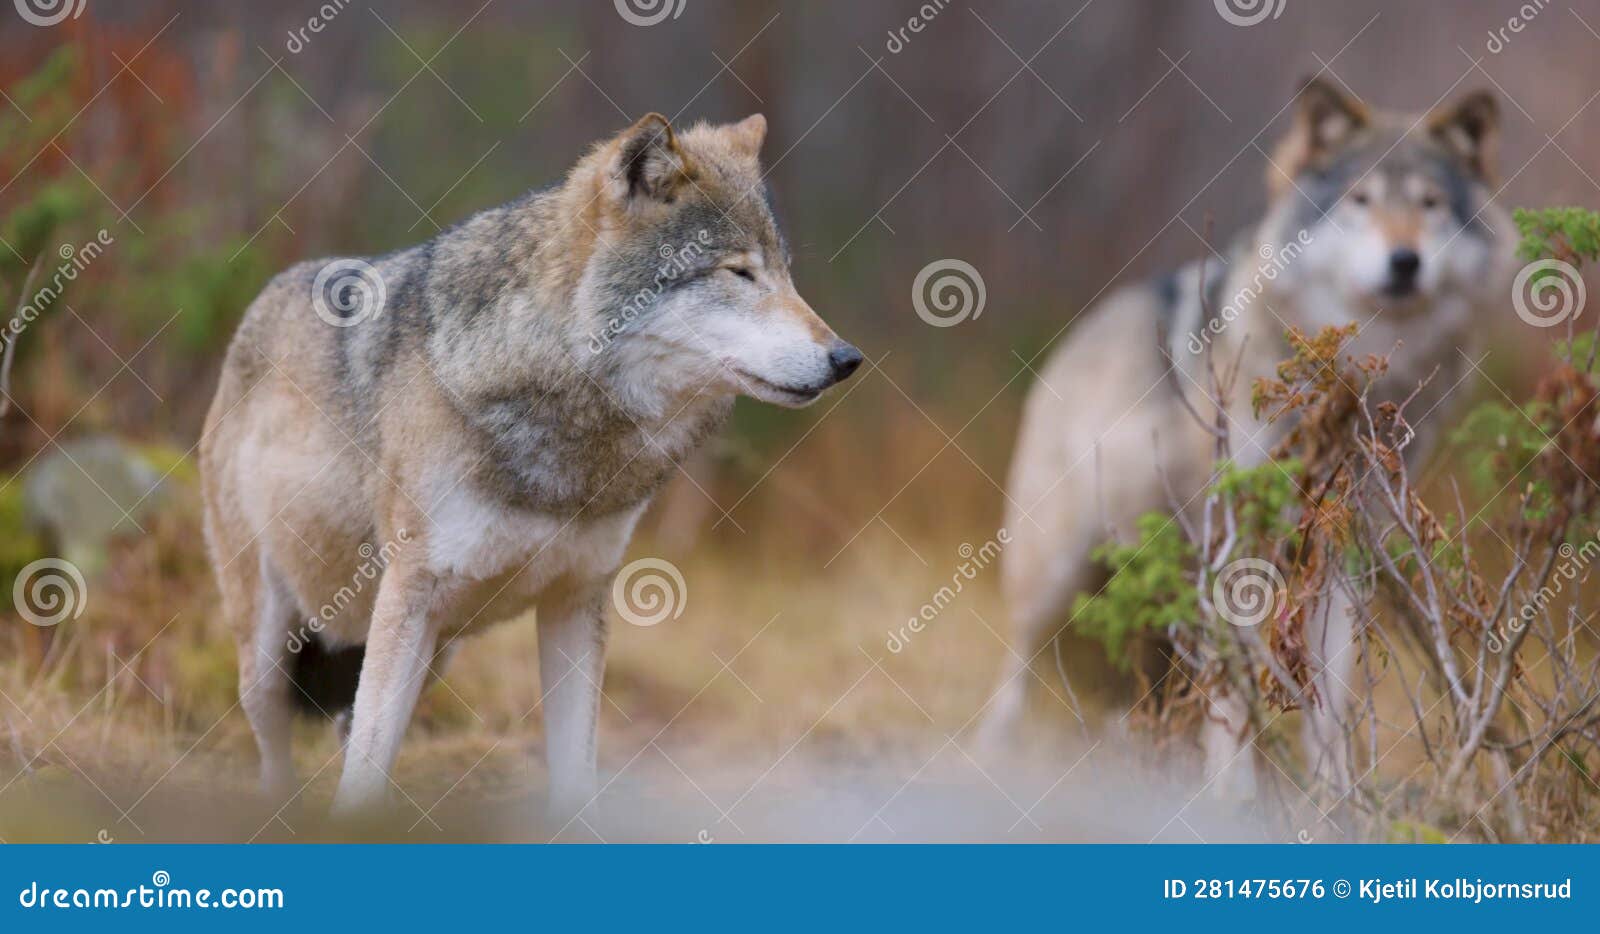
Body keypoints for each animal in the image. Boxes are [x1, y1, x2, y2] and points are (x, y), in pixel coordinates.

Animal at [199, 112, 862, 818]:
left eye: (786, 274)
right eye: (738, 272)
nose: (847, 358)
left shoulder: (577, 599)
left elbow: (577, 777)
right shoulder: (411, 594)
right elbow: (362, 779)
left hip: (433, 651)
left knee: (350, 728)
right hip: (277, 649)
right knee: (282, 746)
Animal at [985, 79, 1514, 795]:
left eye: (1430, 204)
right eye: (1362, 200)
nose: (1405, 261)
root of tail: (1083, 326)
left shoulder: (1344, 562)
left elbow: (1330, 700)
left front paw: (1335, 801)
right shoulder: (1238, 549)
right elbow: (1235, 701)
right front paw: (1230, 801)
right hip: (1053, 572)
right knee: (1012, 674)